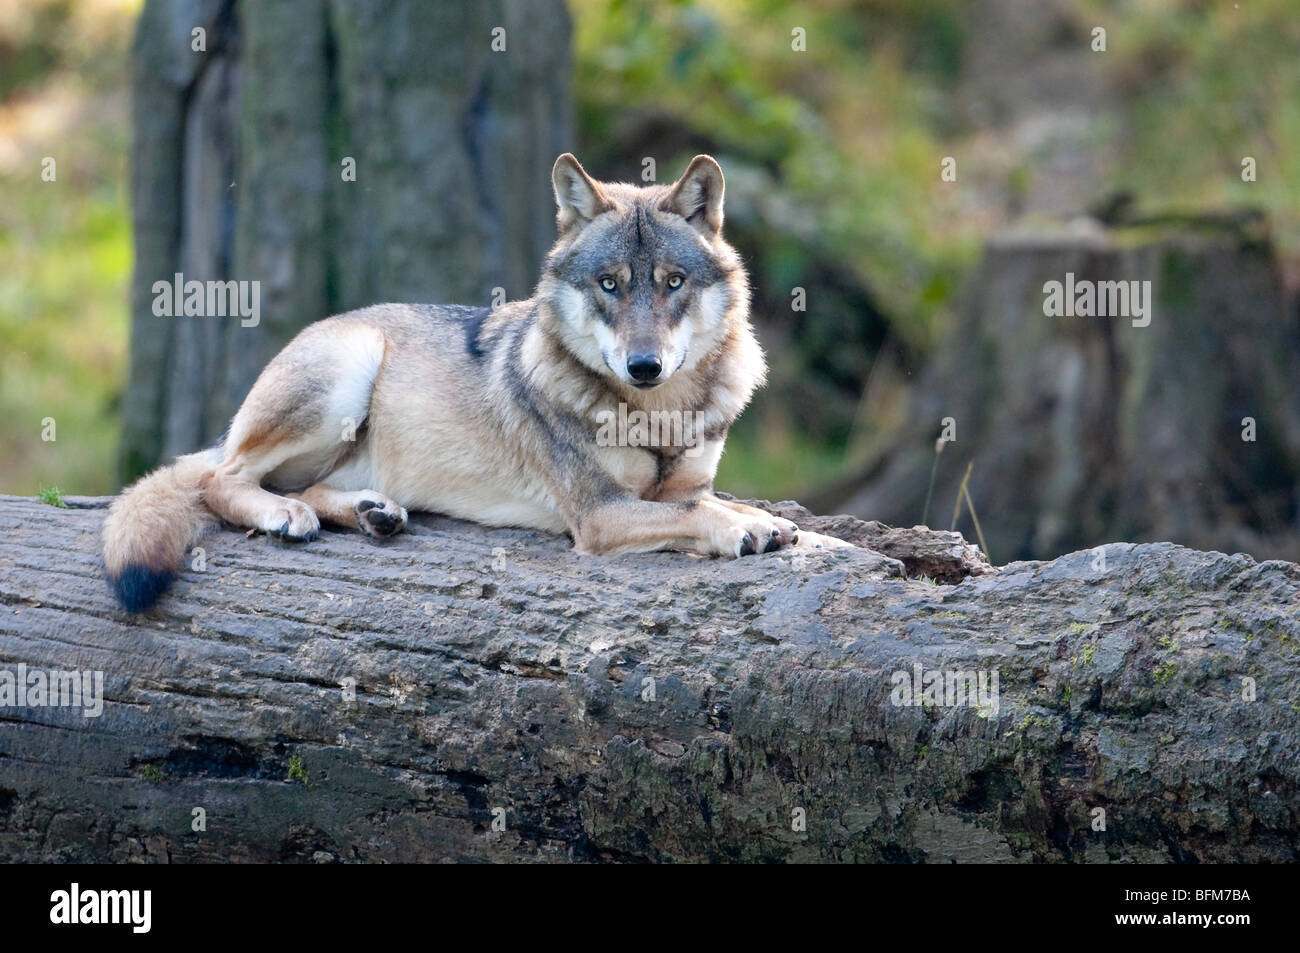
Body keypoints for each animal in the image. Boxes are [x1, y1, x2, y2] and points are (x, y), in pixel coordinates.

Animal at [103, 154, 852, 612]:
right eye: (610, 284)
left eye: (672, 282)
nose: (645, 366)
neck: (659, 412)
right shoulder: (599, 515)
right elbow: (700, 514)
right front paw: (744, 531)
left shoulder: (685, 482)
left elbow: (721, 503)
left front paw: (783, 528)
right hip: (345, 373)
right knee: (218, 480)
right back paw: (289, 516)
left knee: (301, 488)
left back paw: (374, 513)